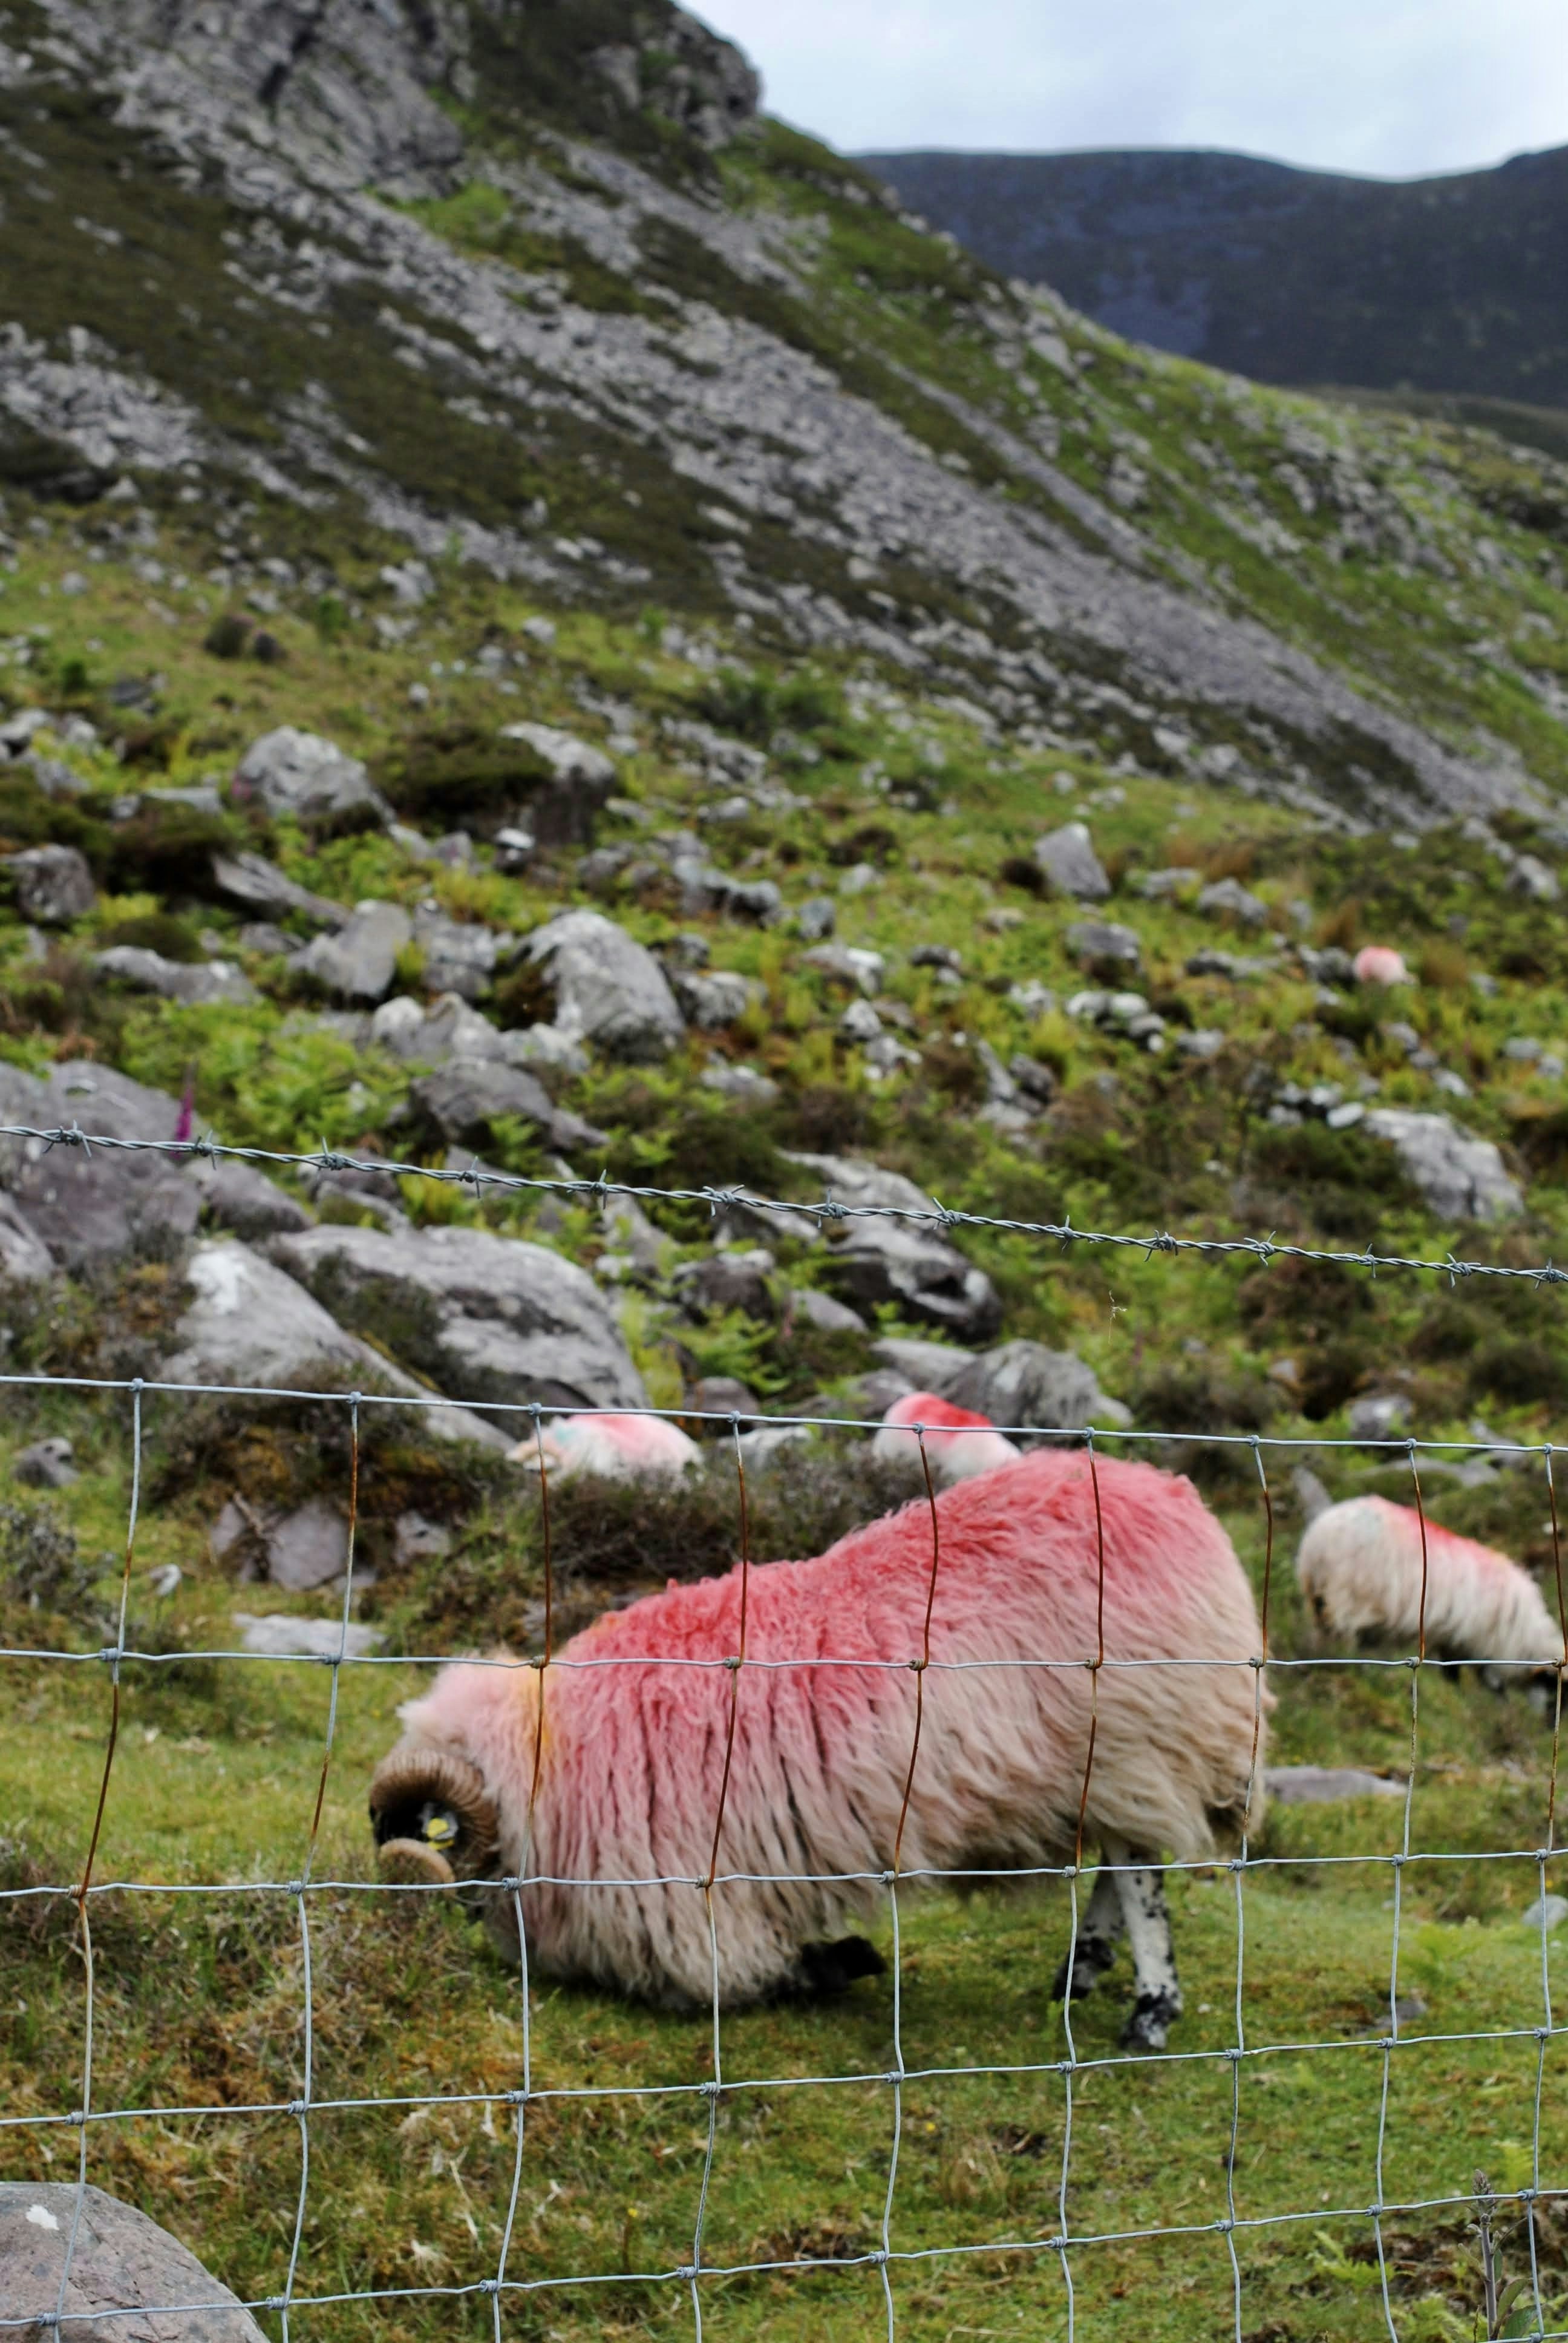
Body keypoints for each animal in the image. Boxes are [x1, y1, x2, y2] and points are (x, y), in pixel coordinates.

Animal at [369, 1449, 1267, 2048]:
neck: (547, 1758)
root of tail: (1173, 1498)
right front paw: (847, 1960)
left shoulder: (689, 1916)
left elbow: (750, 1979)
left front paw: (841, 1962)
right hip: (1113, 1763)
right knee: (1122, 1856)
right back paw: (1082, 1968)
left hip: (1133, 1736)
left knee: (1140, 1866)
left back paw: (1149, 2006)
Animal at [1296, 1496, 1565, 1692]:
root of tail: (1320, 1542)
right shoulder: (1478, 1640)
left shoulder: (1457, 1637)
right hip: (1347, 1600)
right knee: (1338, 1636)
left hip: (1319, 1596)